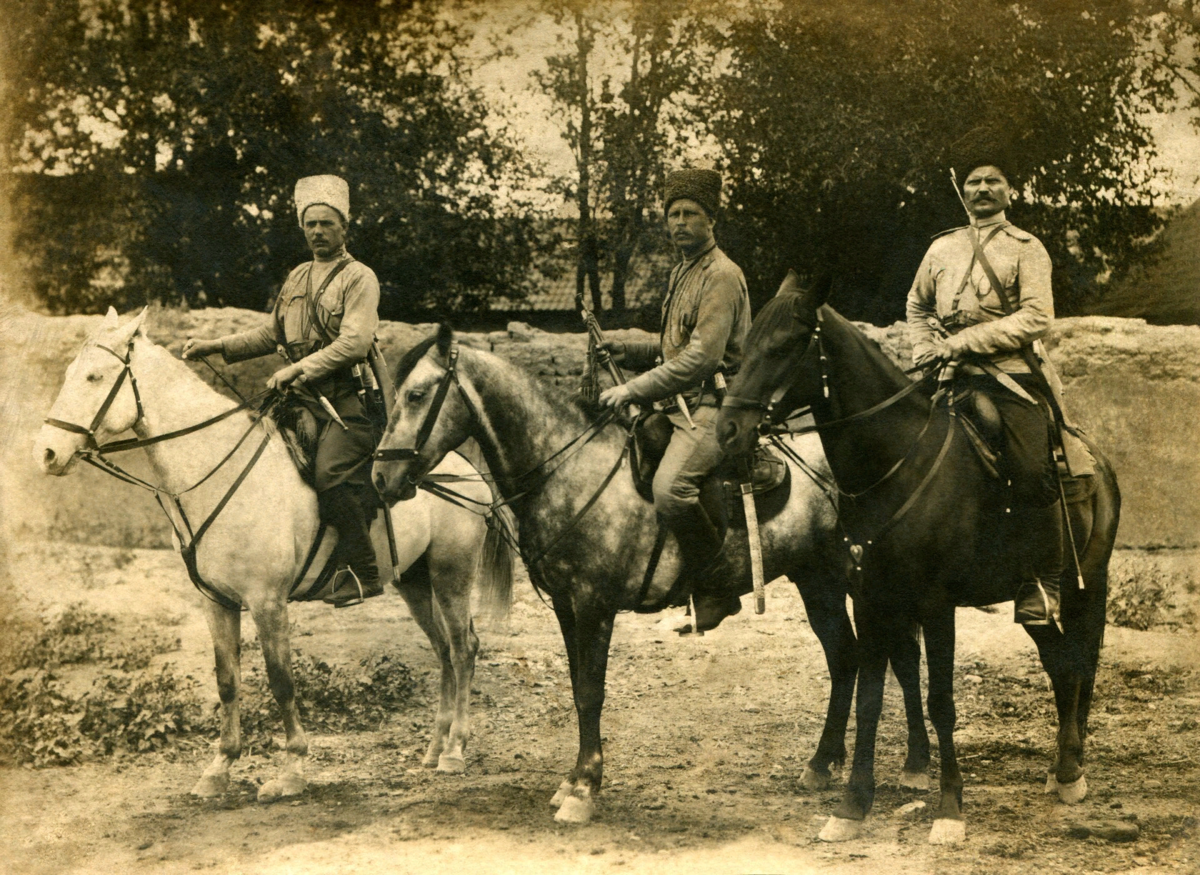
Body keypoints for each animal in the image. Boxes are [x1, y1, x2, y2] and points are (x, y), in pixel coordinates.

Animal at [32, 309, 511, 796]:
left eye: (94, 376)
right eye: (69, 373)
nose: (47, 453)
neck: (215, 471)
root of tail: (467, 471)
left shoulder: (268, 602)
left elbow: (281, 681)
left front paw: (292, 771)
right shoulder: (217, 602)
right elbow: (227, 681)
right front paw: (219, 768)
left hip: (451, 576)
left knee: (463, 648)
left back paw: (454, 751)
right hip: (414, 582)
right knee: (443, 650)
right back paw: (434, 750)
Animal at [710, 283, 1113, 844]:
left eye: (785, 345)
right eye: (746, 344)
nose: (727, 431)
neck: (896, 466)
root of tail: (1101, 462)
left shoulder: (936, 605)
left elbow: (941, 701)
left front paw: (949, 808)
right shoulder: (872, 600)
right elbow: (871, 695)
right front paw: (852, 804)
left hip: (1086, 584)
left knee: (1079, 663)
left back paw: (1072, 769)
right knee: (1062, 665)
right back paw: (1063, 766)